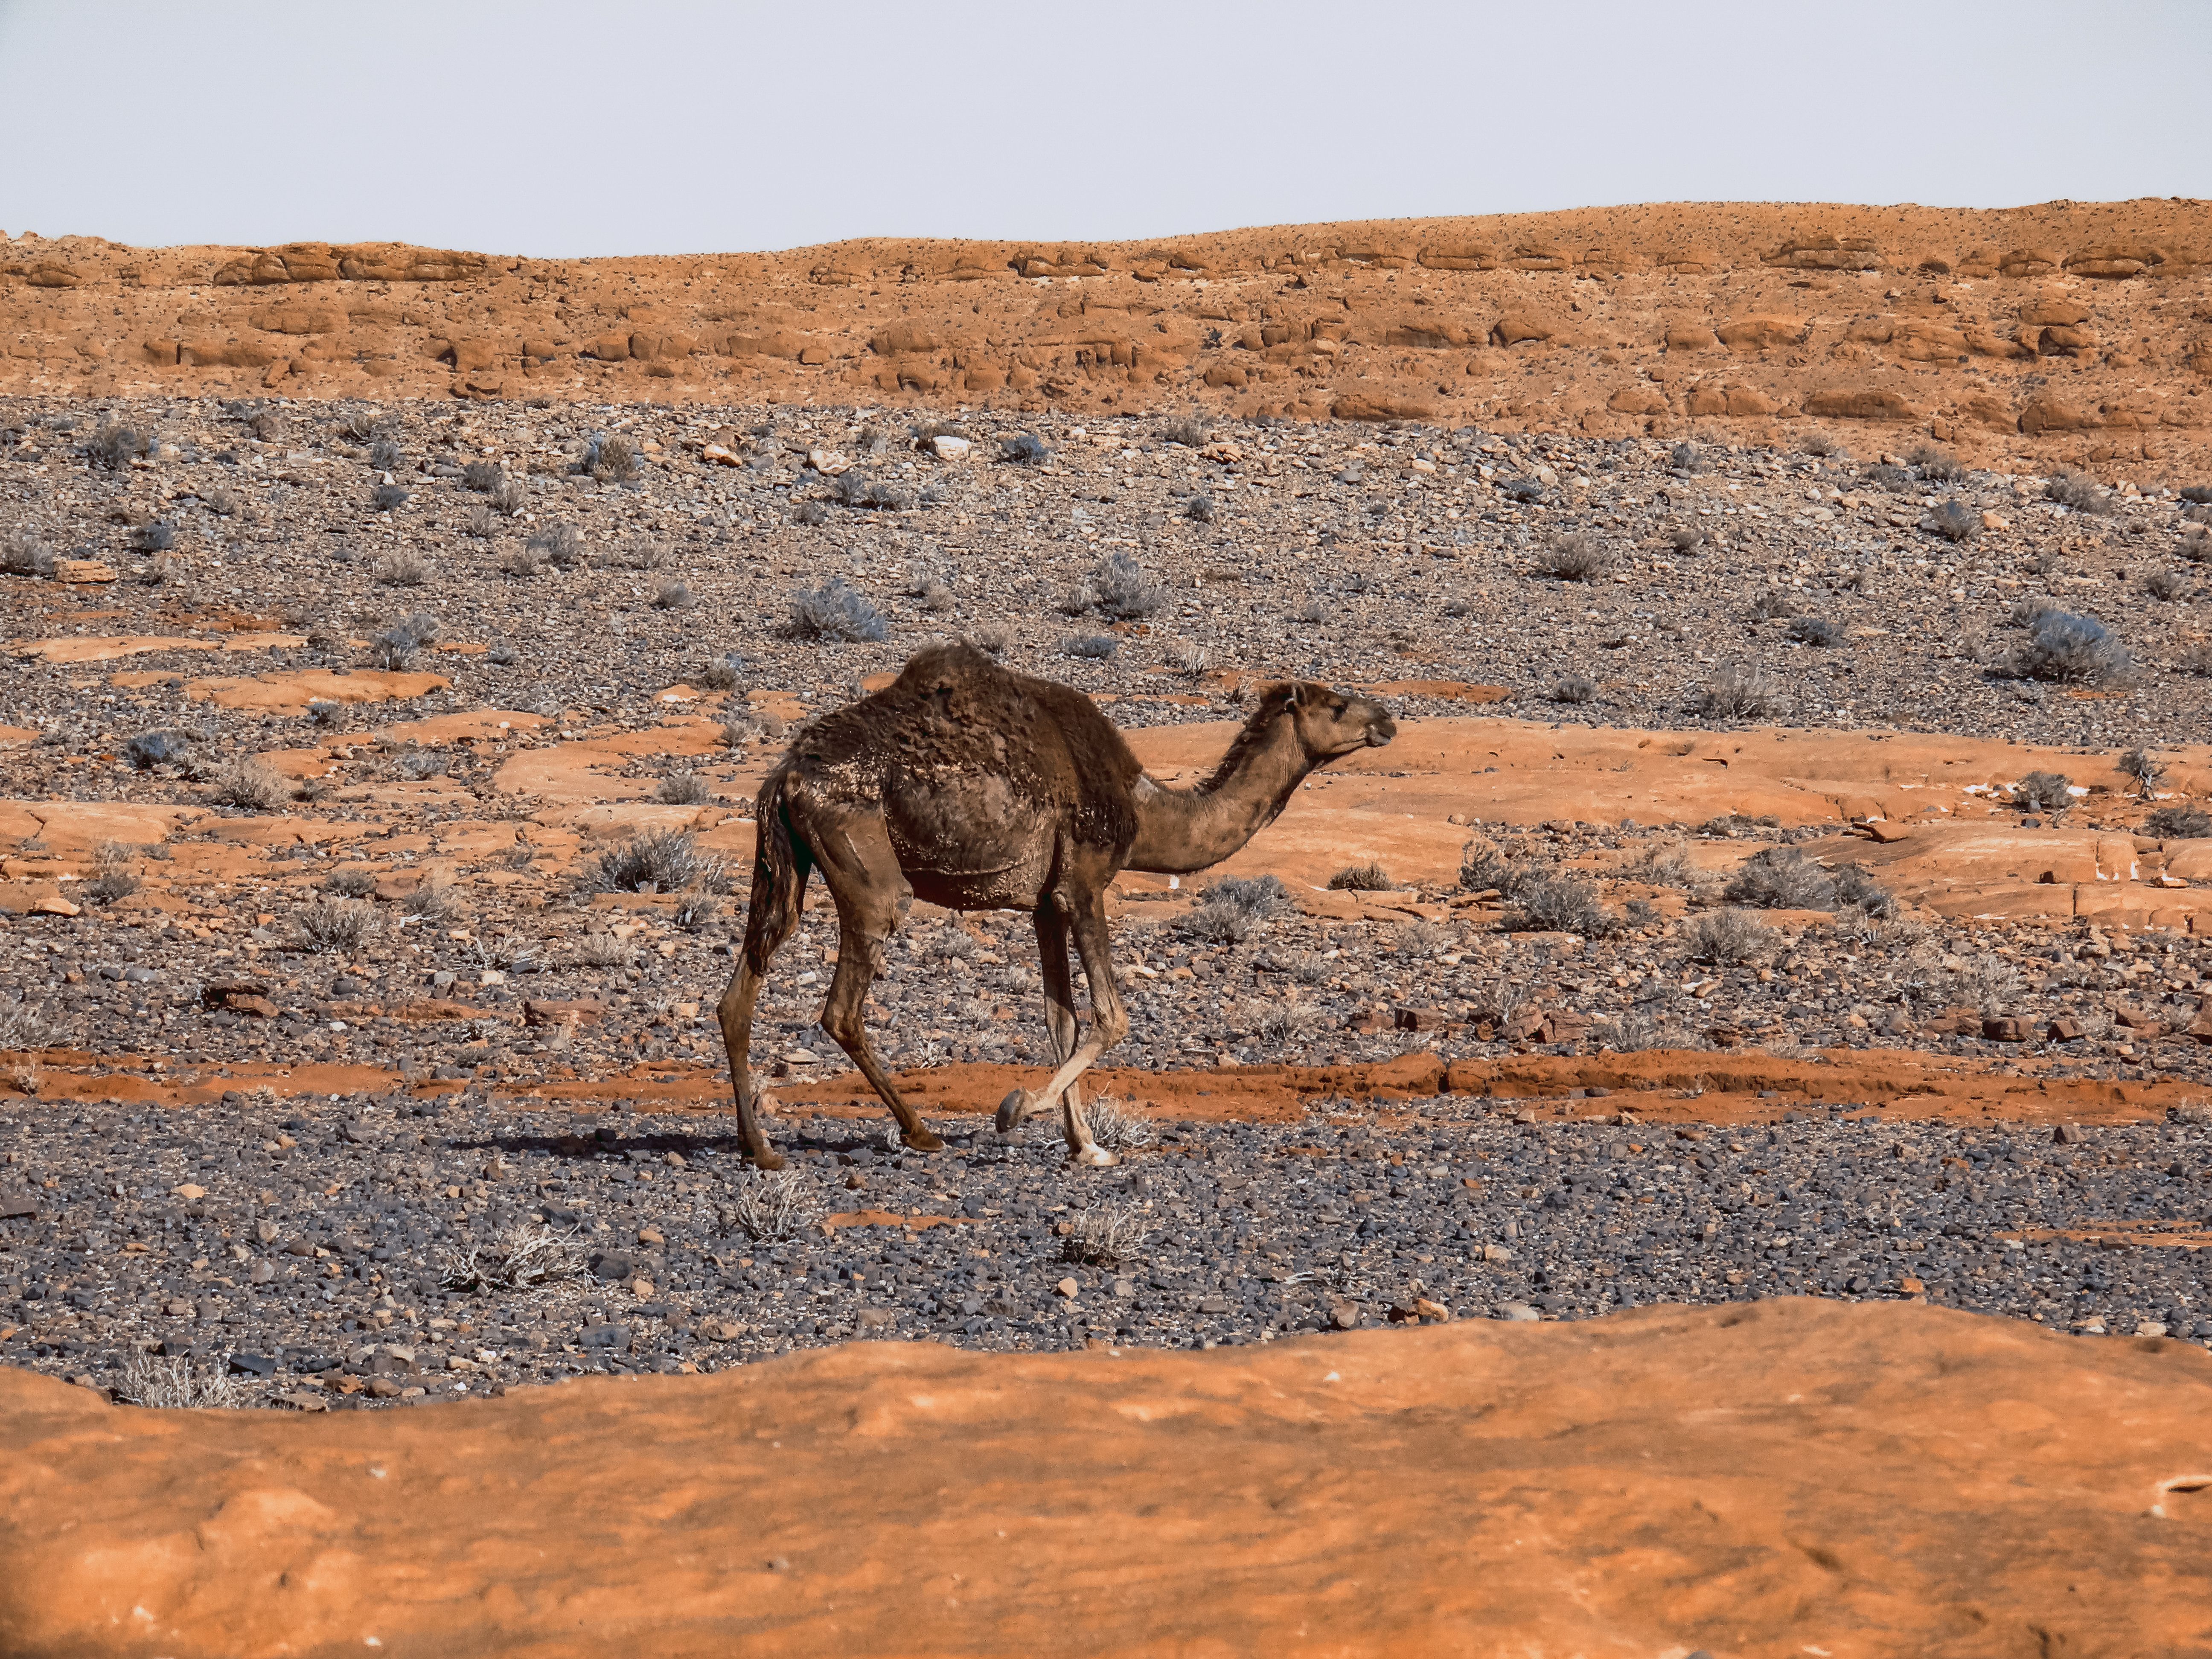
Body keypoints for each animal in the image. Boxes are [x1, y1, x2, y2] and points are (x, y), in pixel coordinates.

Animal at [715, 640, 1396, 1169]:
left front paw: (1084, 1144)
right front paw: (1019, 1109)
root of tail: (786, 775)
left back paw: (762, 1147)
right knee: (844, 1003)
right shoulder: (1084, 882)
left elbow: (1059, 1020)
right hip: (861, 853)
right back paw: (921, 1132)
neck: (1144, 810)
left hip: (787, 860)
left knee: (745, 982)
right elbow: (1112, 1017)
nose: (1387, 721)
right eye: (1337, 705)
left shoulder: (1045, 903)